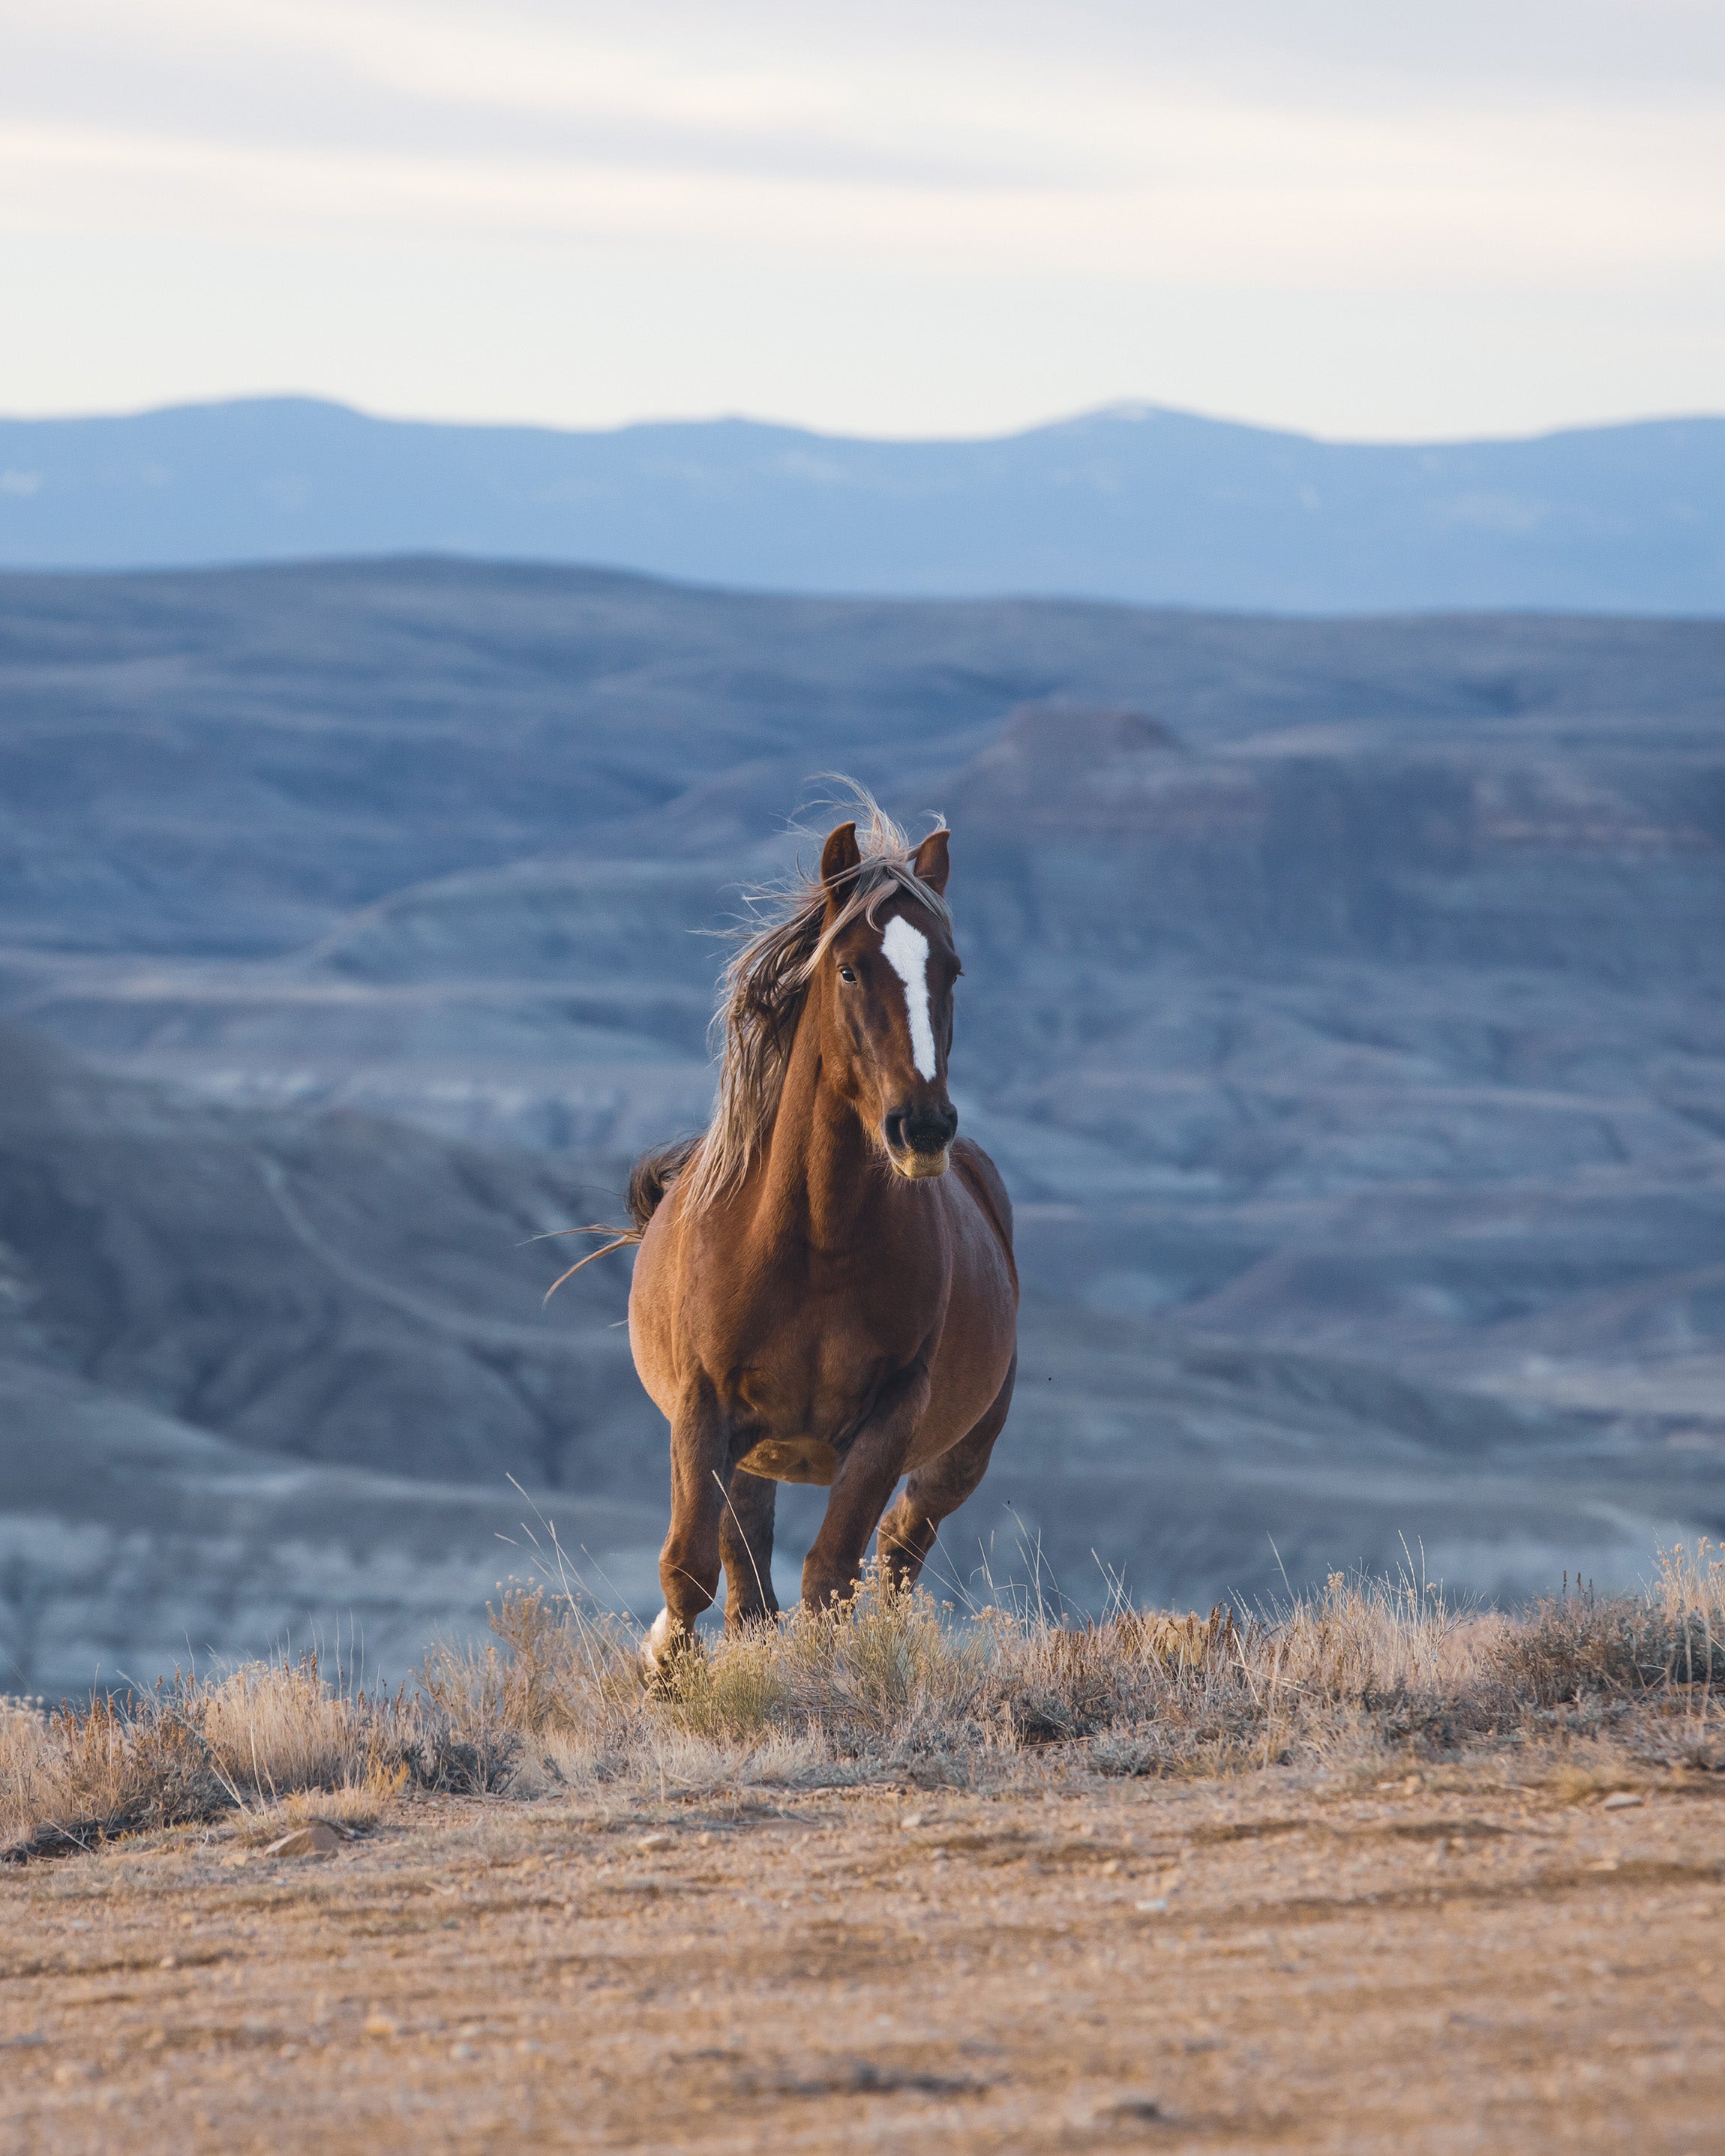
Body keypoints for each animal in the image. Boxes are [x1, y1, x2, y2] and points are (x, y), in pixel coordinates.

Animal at [615, 789, 1018, 1675]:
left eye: (950, 970)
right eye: (848, 968)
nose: (921, 1127)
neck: (814, 1246)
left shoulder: (891, 1418)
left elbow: (831, 1574)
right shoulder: (705, 1409)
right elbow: (689, 1568)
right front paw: (665, 1666)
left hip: (959, 1456)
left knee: (899, 1546)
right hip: (753, 1455)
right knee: (746, 1578)